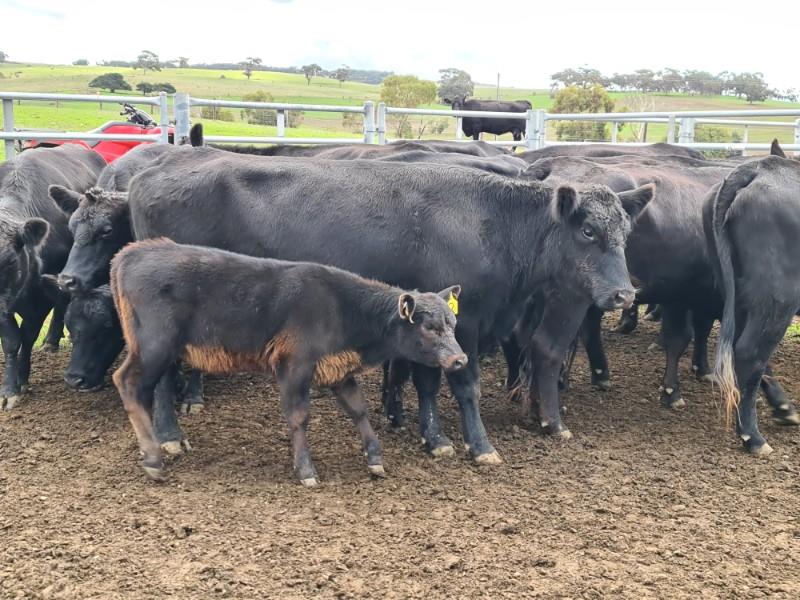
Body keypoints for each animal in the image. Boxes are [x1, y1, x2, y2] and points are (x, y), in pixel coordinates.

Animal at [0, 145, 105, 409]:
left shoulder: (41, 299)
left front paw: (21, 379)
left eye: (10, 260)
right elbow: (11, 340)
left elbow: (26, 337)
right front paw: (9, 388)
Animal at [110, 238, 467, 485]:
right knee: (127, 383)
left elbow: (358, 410)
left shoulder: (338, 369)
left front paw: (374, 457)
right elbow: (298, 416)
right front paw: (305, 469)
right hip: (154, 347)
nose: (460, 359)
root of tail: (132, 253)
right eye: (429, 326)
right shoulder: (294, 365)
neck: (343, 307)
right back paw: (153, 458)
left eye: (452, 322)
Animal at [120, 146, 650, 462]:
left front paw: (433, 437)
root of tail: (154, 170)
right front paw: (478, 444)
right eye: (588, 231)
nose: (625, 294)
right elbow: (464, 385)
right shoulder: (465, 324)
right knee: (160, 374)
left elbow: (427, 382)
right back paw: (168, 436)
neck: (489, 221)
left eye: (626, 232)